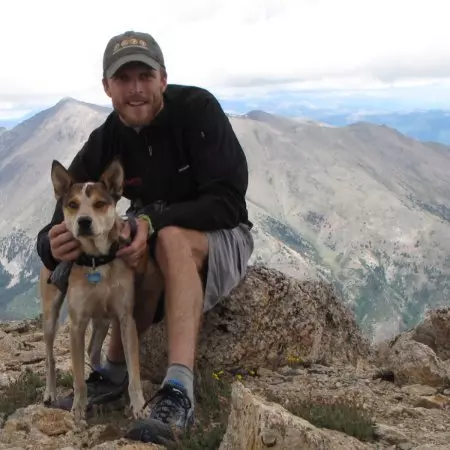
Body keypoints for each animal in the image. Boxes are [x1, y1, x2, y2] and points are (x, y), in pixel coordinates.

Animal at [39, 158, 151, 426]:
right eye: (72, 204)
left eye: (100, 204)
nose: (83, 221)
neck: (96, 261)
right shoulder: (77, 324)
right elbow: (79, 377)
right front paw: (79, 409)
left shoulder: (125, 318)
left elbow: (134, 372)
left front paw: (139, 406)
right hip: (50, 317)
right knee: (50, 356)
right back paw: (50, 393)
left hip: (103, 320)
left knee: (94, 350)